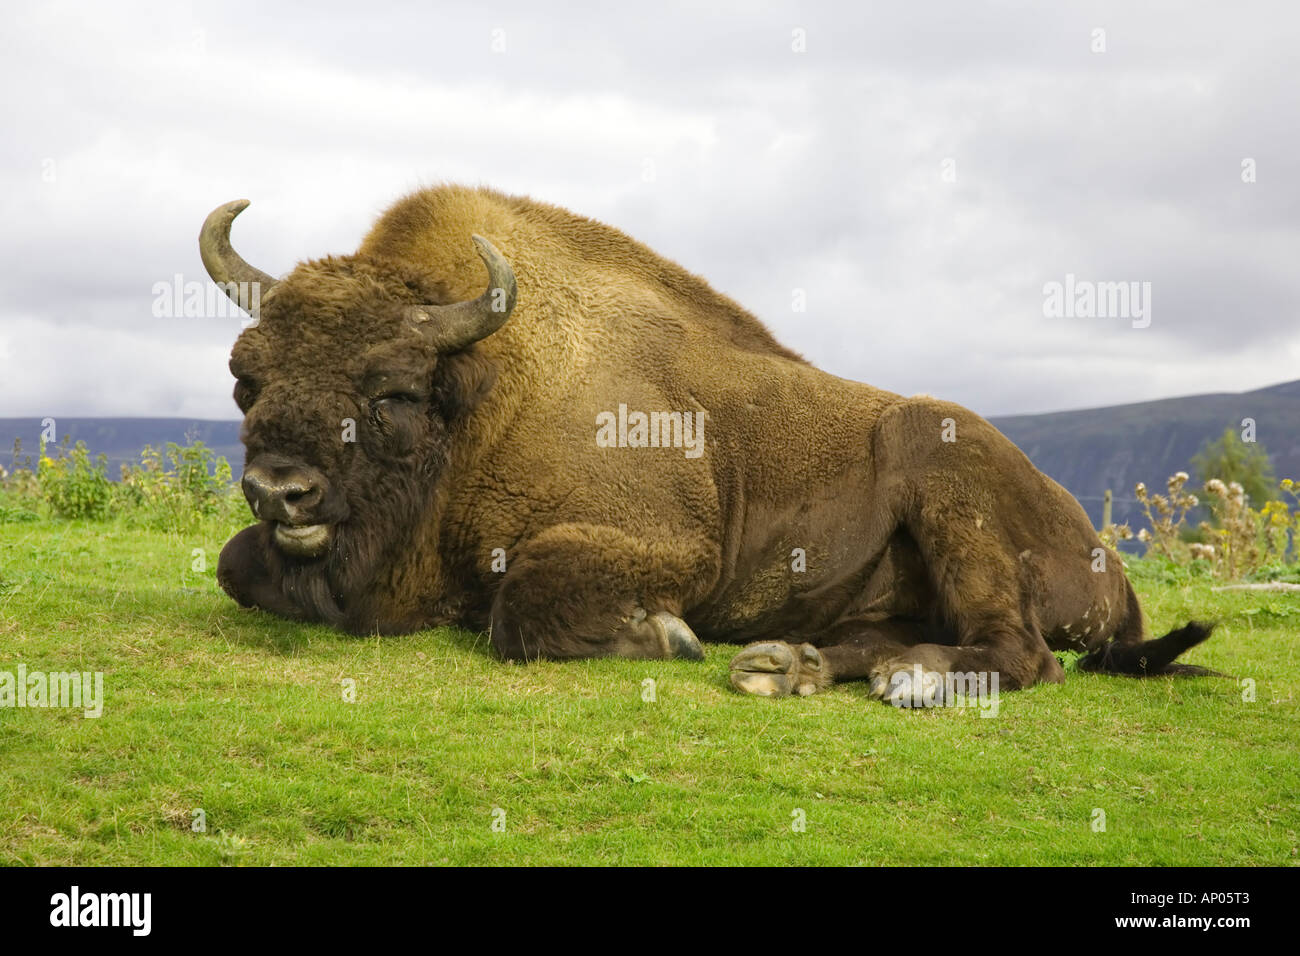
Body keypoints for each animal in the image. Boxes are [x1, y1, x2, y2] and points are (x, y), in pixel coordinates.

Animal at [204, 185, 1216, 704]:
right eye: (245, 377)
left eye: (394, 392)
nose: (280, 490)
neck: (484, 391)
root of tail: (1112, 568)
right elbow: (233, 563)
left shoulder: (669, 547)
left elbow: (523, 604)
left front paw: (664, 636)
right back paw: (785, 666)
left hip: (944, 468)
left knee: (1022, 651)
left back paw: (906, 681)